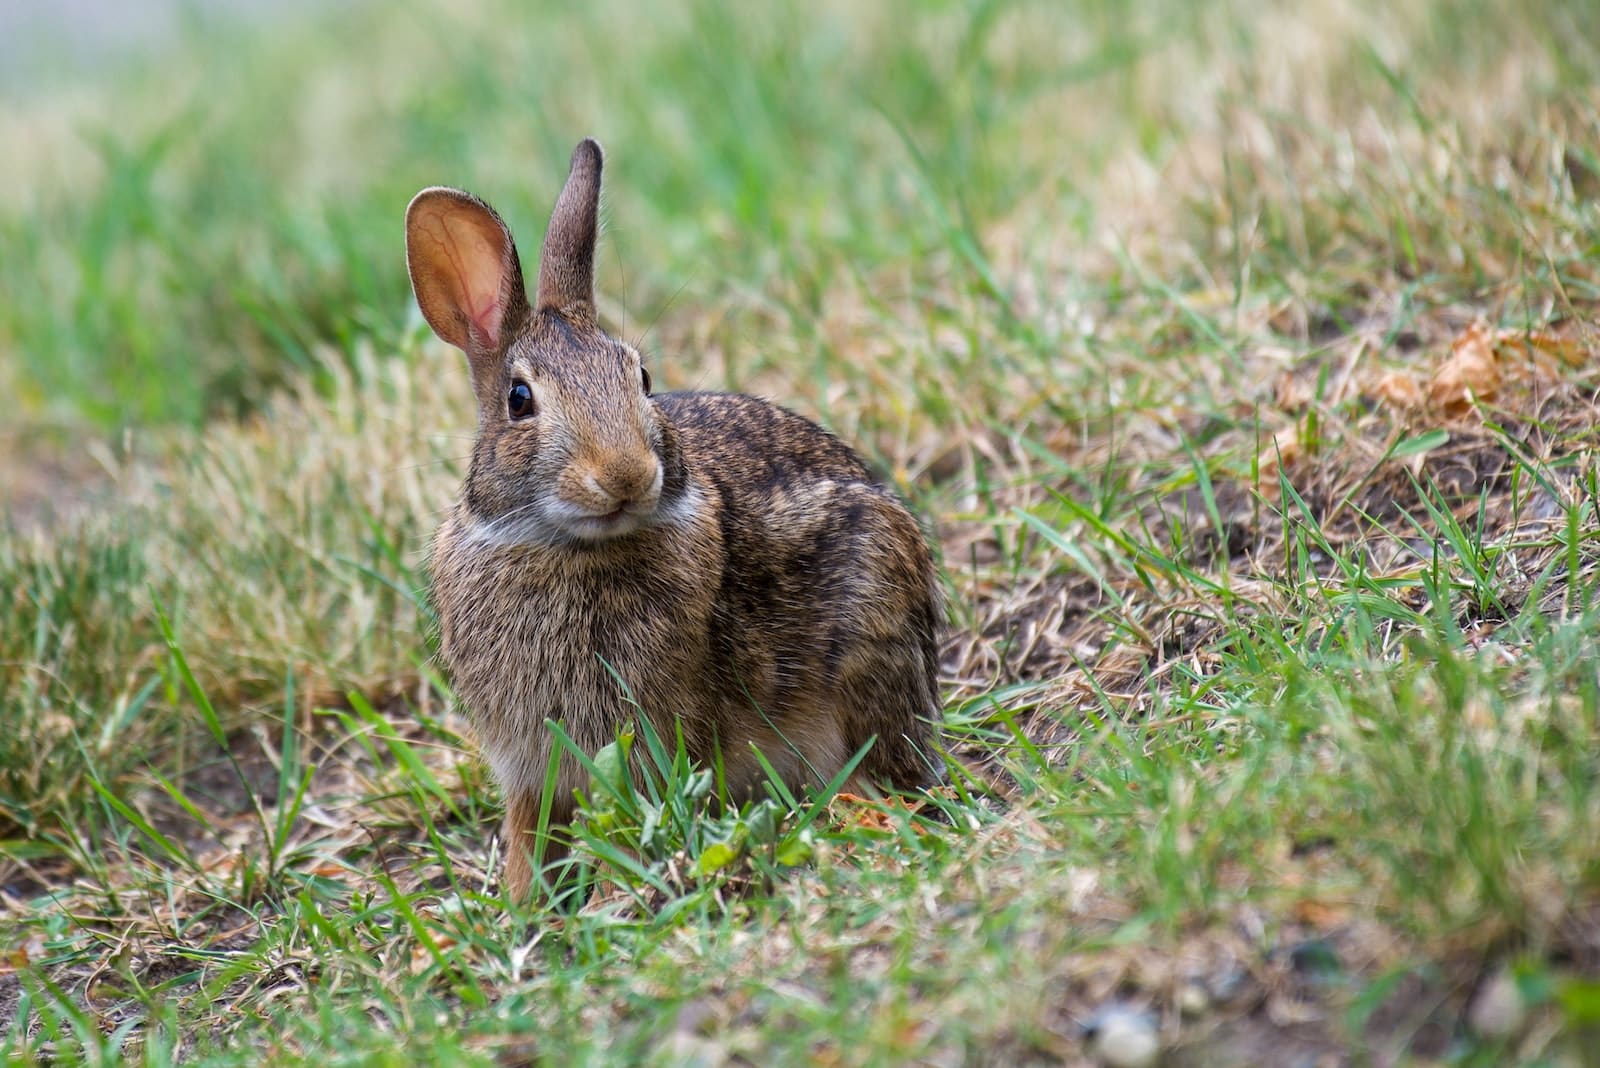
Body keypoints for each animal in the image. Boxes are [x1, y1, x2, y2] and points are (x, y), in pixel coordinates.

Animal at [406, 138, 944, 900]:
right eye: (519, 400)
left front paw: (607, 896)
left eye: (642, 379)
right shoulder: (529, 764)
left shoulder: (646, 741)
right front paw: (521, 905)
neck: (567, 545)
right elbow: (527, 834)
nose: (627, 475)